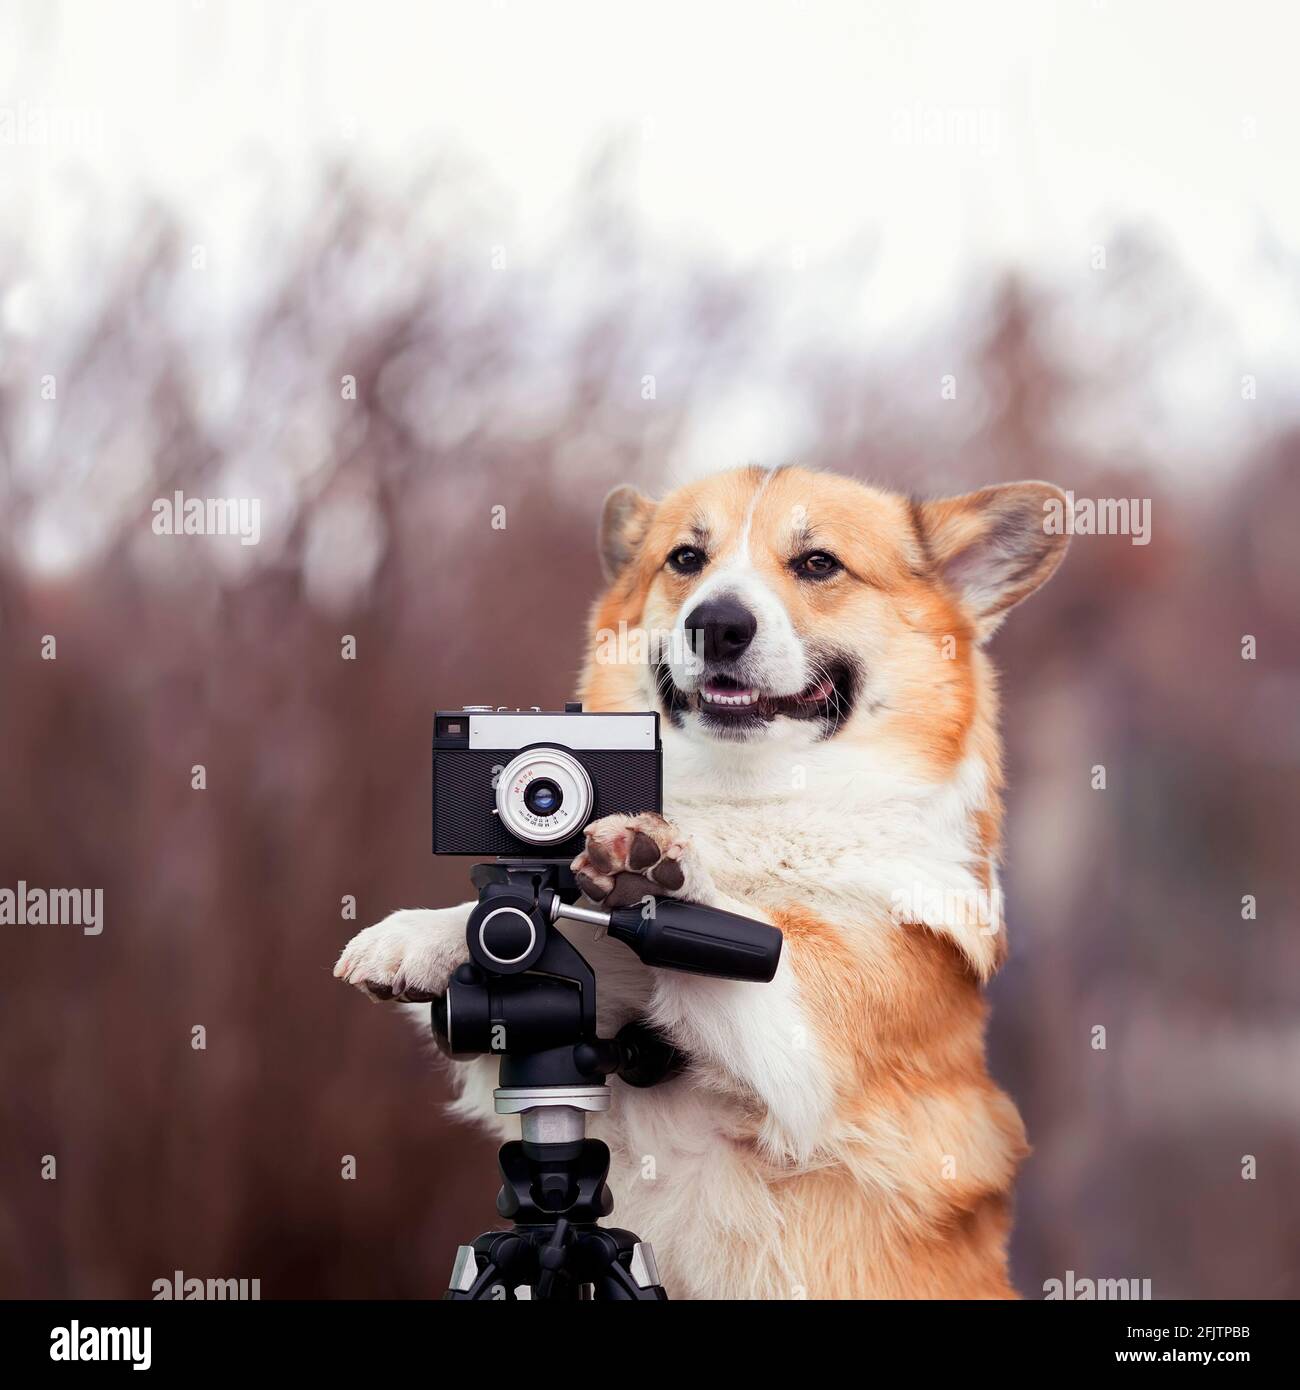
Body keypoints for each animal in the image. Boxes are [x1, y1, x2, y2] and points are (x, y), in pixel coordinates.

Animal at [335, 469, 1067, 1301]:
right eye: (687, 558)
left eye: (818, 563)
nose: (716, 625)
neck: (750, 804)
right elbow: (540, 932)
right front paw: (420, 935)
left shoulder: (812, 1040)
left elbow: (730, 948)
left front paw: (651, 871)